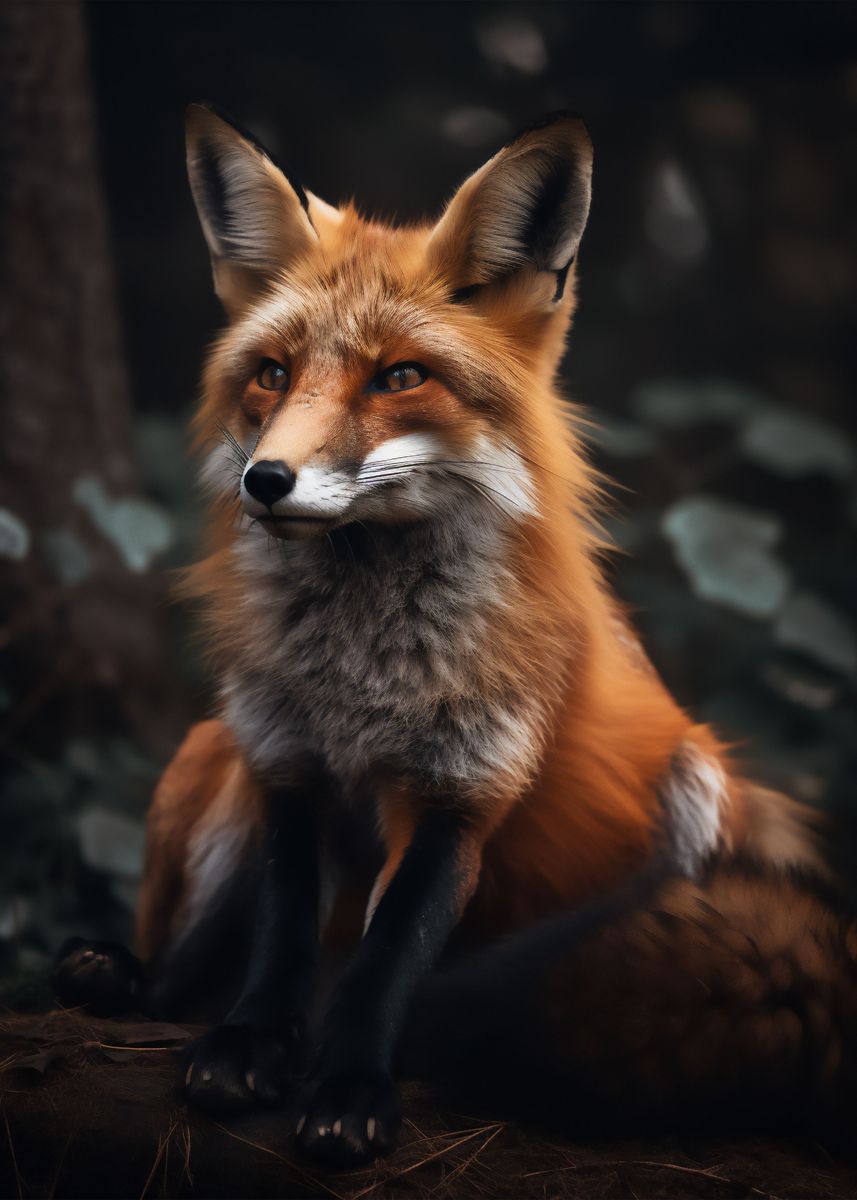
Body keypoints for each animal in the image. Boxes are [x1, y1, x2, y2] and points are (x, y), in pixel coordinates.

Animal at [54, 105, 836, 1168]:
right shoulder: (285, 767)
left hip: (700, 787)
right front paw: (248, 1045)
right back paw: (130, 982)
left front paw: (349, 1088)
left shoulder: (460, 793)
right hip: (211, 753)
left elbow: (383, 958)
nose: (266, 480)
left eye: (400, 377)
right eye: (271, 375)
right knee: (187, 978)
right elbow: (280, 934)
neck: (359, 679)